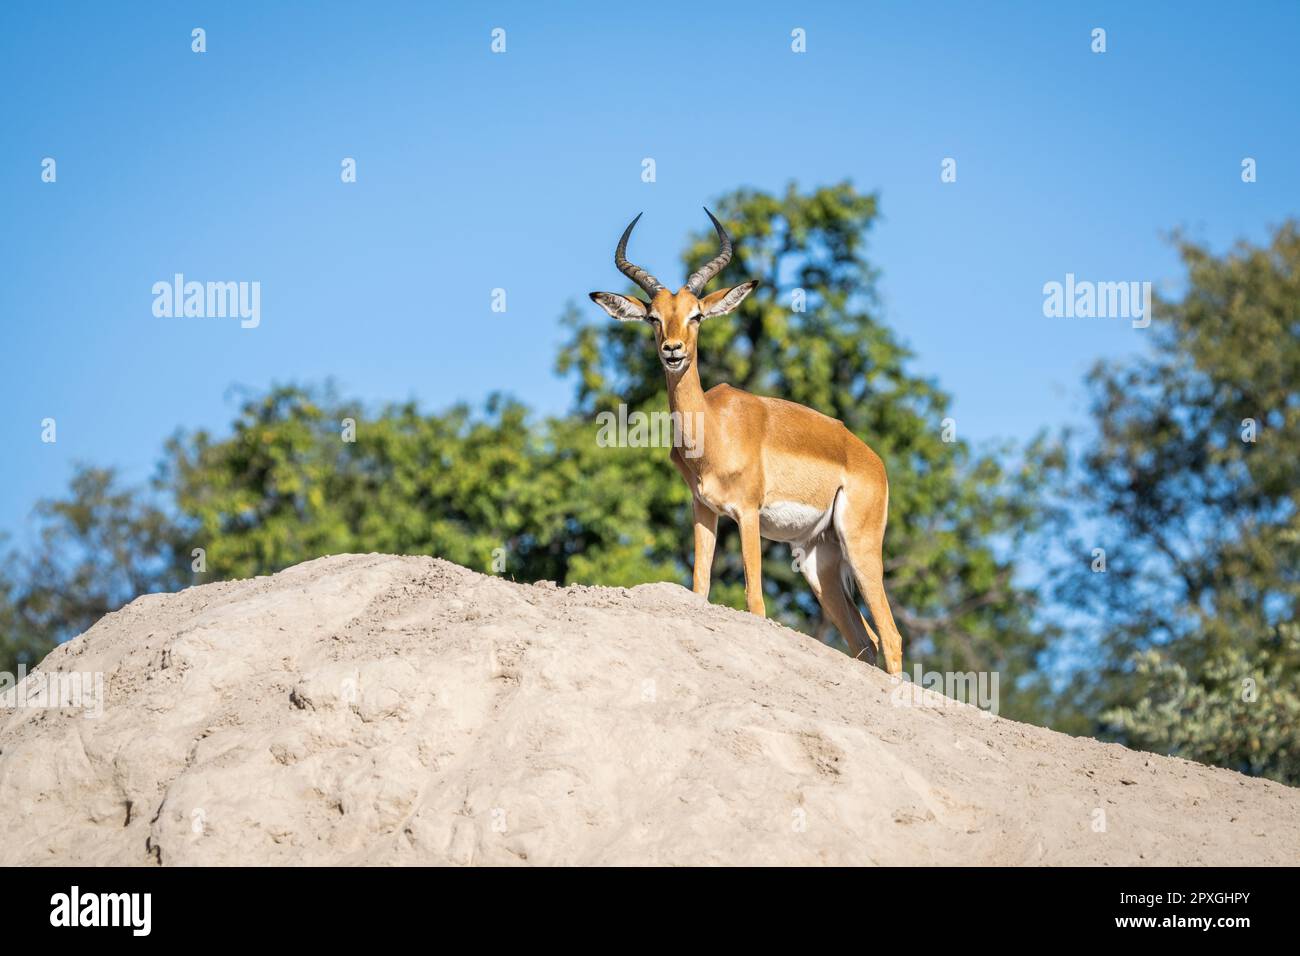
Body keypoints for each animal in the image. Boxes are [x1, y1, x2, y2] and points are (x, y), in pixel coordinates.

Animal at [589, 209, 904, 674]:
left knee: (891, 636)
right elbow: (699, 588)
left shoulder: (748, 514)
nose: (673, 351)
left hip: (859, 547)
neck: (712, 430)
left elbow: (755, 601)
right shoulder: (704, 510)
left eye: (697, 314)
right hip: (818, 560)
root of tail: (872, 461)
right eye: (653, 317)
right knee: (865, 640)